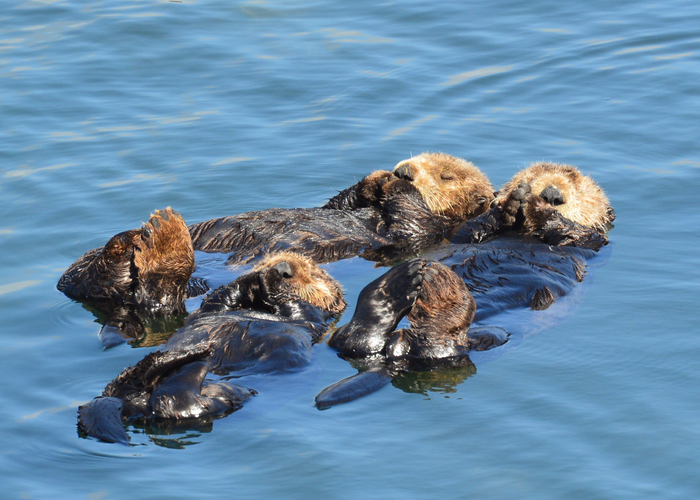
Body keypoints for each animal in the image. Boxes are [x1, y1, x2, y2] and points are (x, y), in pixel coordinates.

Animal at [78, 251, 346, 444]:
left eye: (313, 273)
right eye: (271, 258)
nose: (282, 269)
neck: (260, 308)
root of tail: (135, 403)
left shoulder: (312, 318)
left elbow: (300, 307)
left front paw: (271, 286)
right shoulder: (212, 307)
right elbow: (221, 296)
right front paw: (254, 278)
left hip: (218, 398)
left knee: (174, 402)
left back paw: (193, 358)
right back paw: (177, 358)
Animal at [187, 153, 495, 265]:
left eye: (447, 177)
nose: (404, 170)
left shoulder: (431, 231)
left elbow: (411, 222)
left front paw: (397, 184)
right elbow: (339, 203)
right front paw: (379, 178)